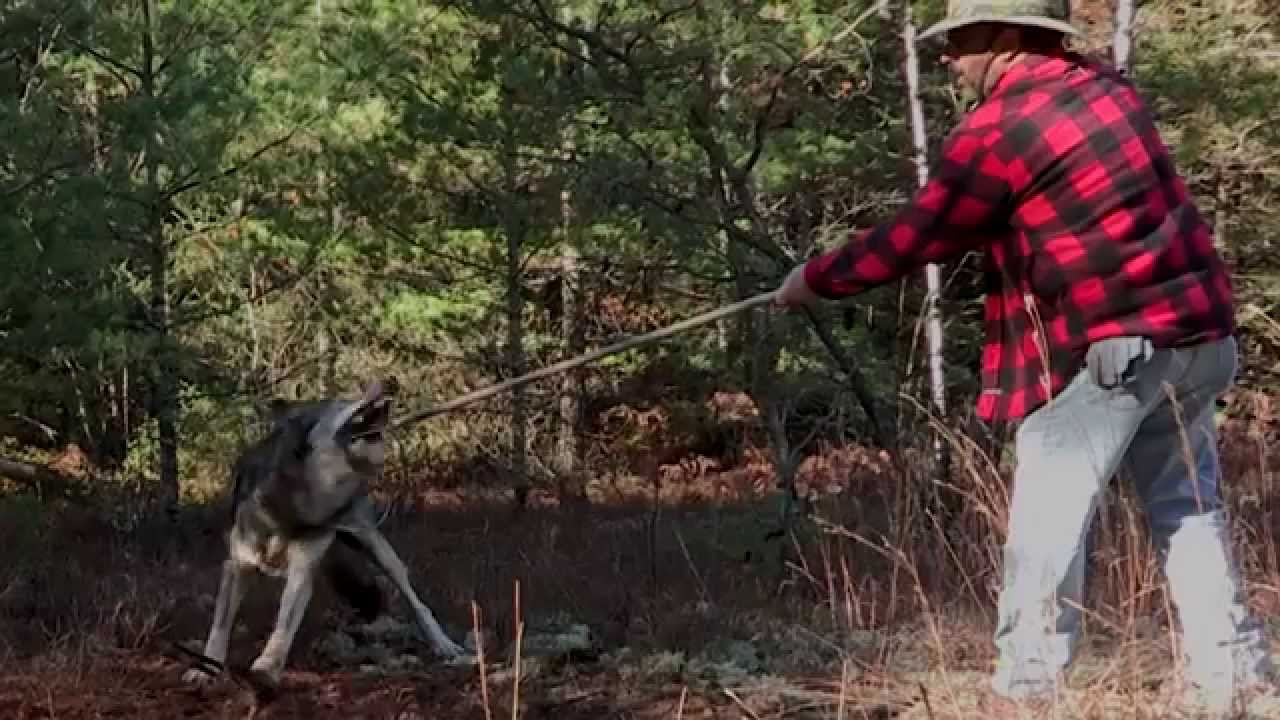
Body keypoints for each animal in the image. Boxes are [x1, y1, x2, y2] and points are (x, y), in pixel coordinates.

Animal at [183, 378, 467, 692]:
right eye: (343, 401)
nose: (390, 380)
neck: (304, 502)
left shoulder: (302, 568)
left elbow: (284, 625)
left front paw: (266, 668)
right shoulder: (237, 564)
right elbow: (220, 627)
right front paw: (205, 669)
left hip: (377, 549)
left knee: (416, 601)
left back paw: (445, 646)